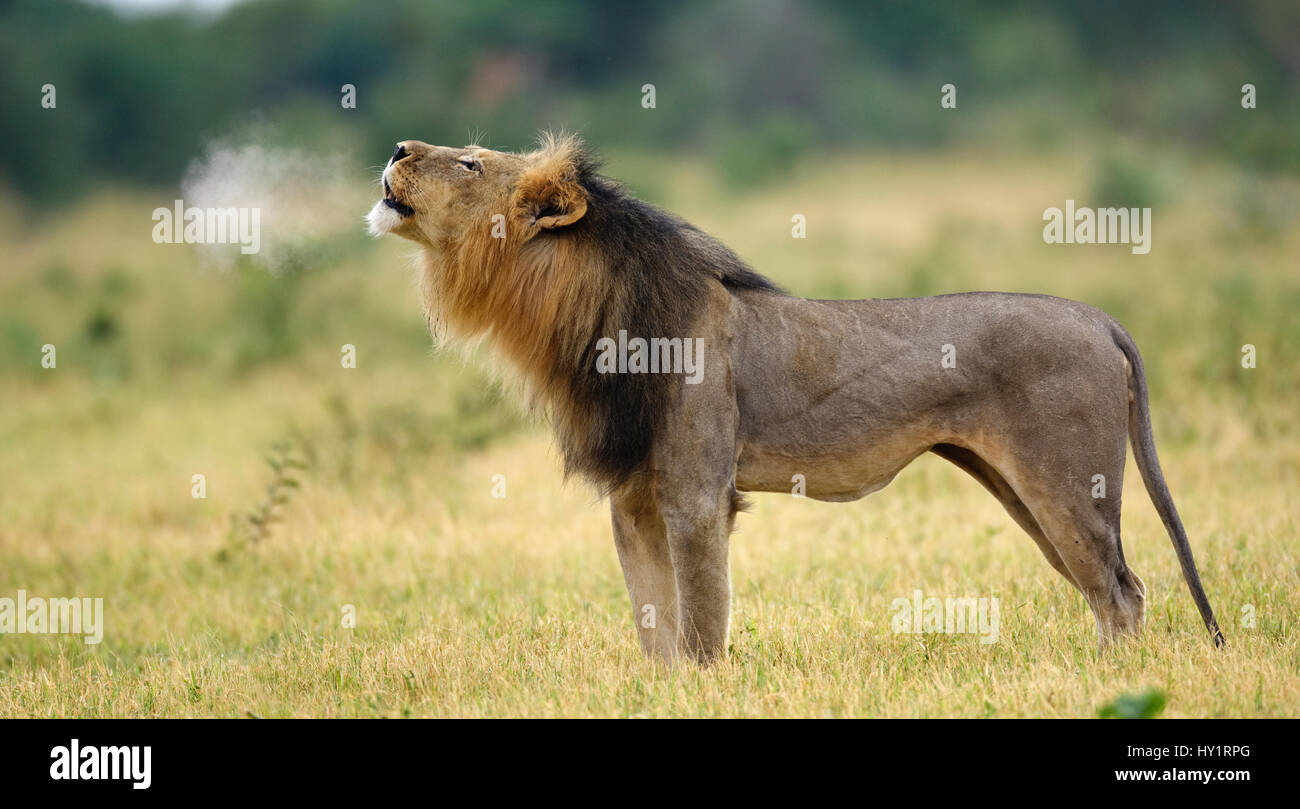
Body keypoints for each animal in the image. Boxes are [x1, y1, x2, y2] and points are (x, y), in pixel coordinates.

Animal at [368, 133, 1224, 664]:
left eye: (470, 163)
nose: (399, 149)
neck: (587, 315)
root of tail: (1099, 317)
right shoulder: (633, 499)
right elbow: (655, 624)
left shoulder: (696, 494)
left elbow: (700, 623)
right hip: (1022, 489)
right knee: (1107, 590)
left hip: (1066, 484)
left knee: (1121, 590)